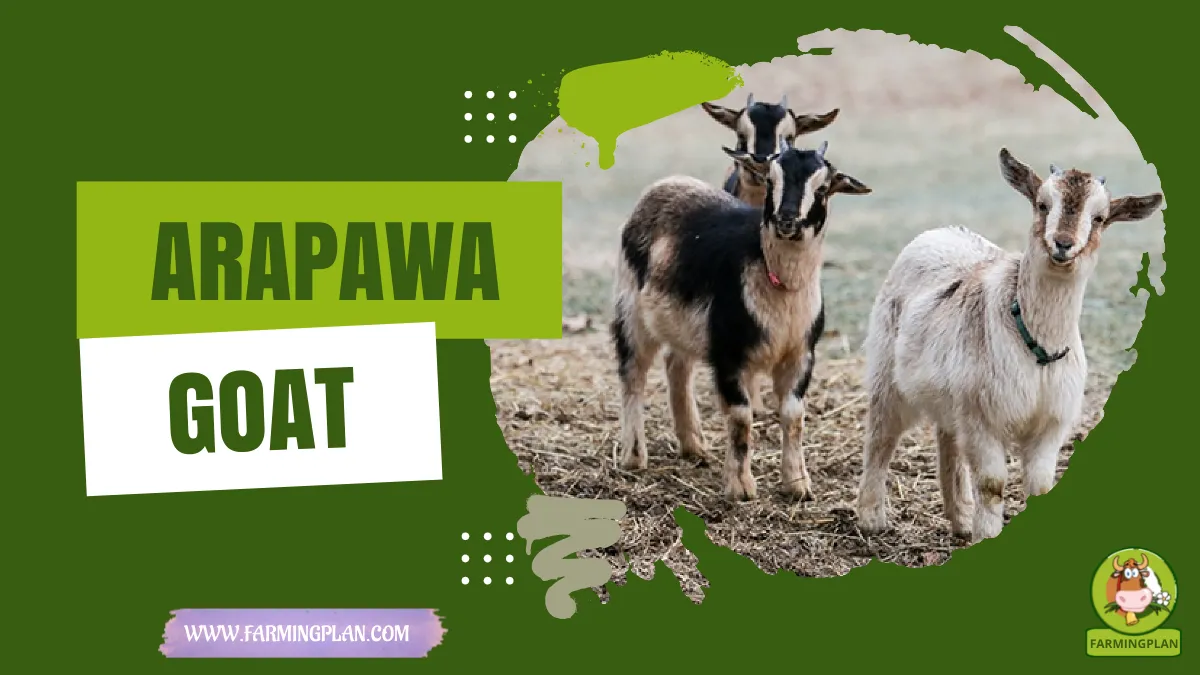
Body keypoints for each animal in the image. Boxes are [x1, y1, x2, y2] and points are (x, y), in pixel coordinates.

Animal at [612, 139, 871, 501]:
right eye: (771, 181)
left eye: (822, 189)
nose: (786, 220)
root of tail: (665, 184)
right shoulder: (728, 354)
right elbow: (740, 417)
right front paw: (741, 488)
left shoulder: (801, 353)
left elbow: (793, 415)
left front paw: (797, 485)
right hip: (631, 307)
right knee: (633, 373)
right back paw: (634, 457)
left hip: (682, 322)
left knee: (677, 365)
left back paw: (694, 446)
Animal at [856, 147, 1163, 540]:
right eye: (1042, 204)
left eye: (1100, 218)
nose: (1063, 244)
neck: (1038, 349)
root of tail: (939, 231)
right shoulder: (983, 418)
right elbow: (992, 485)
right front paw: (986, 534)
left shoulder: (1051, 424)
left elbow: (1040, 487)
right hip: (888, 373)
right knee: (881, 436)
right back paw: (872, 518)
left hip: (951, 397)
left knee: (947, 439)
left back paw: (960, 518)